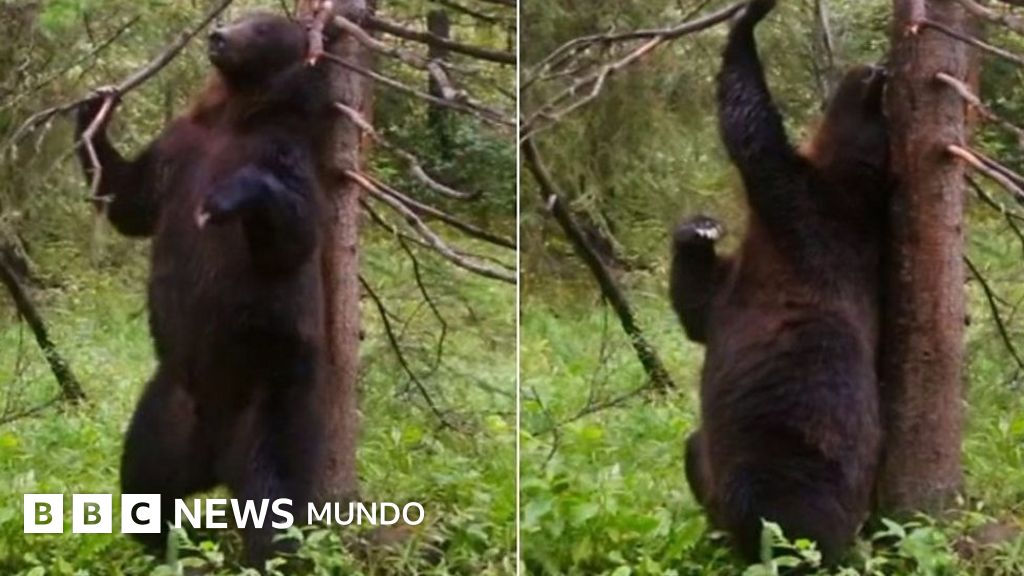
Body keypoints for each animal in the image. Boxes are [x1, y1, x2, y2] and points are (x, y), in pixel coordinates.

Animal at [75, 12, 335, 566]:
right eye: (240, 17)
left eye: (261, 27)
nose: (218, 35)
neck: (232, 116)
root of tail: (217, 458)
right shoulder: (179, 147)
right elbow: (130, 199)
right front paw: (95, 107)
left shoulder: (285, 151)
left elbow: (294, 235)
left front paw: (232, 195)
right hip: (171, 404)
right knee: (144, 480)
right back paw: (172, 542)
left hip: (271, 393)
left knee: (277, 499)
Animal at [670, 0, 890, 565]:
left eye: (878, 110)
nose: (876, 69)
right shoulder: (750, 269)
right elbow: (700, 310)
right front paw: (697, 229)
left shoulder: (798, 216)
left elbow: (750, 132)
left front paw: (749, 18)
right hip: (720, 460)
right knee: (695, 449)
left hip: (789, 457)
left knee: (779, 513)